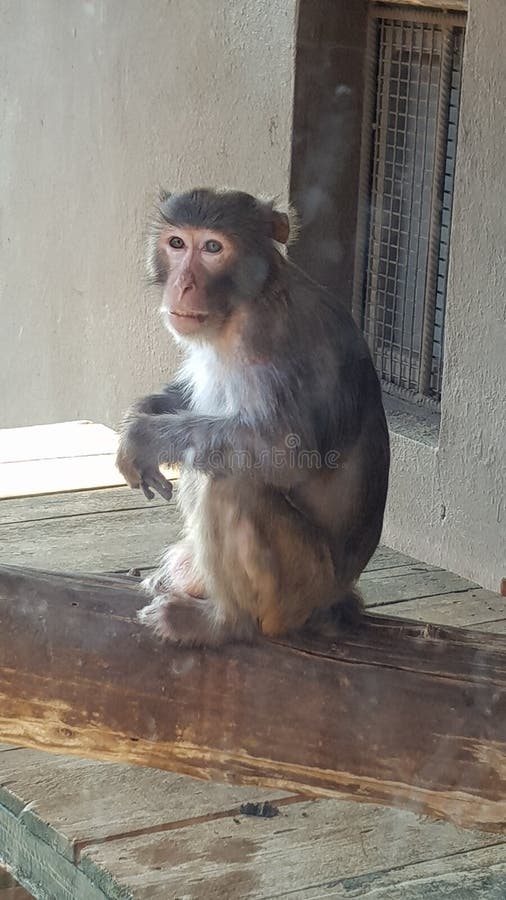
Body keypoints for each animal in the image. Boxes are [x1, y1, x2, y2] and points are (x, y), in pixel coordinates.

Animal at [116, 188, 390, 646]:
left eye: (212, 248)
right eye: (177, 243)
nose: (183, 284)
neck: (248, 299)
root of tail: (337, 595)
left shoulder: (268, 340)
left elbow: (285, 451)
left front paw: (143, 438)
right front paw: (138, 419)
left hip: (300, 587)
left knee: (233, 481)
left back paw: (226, 622)